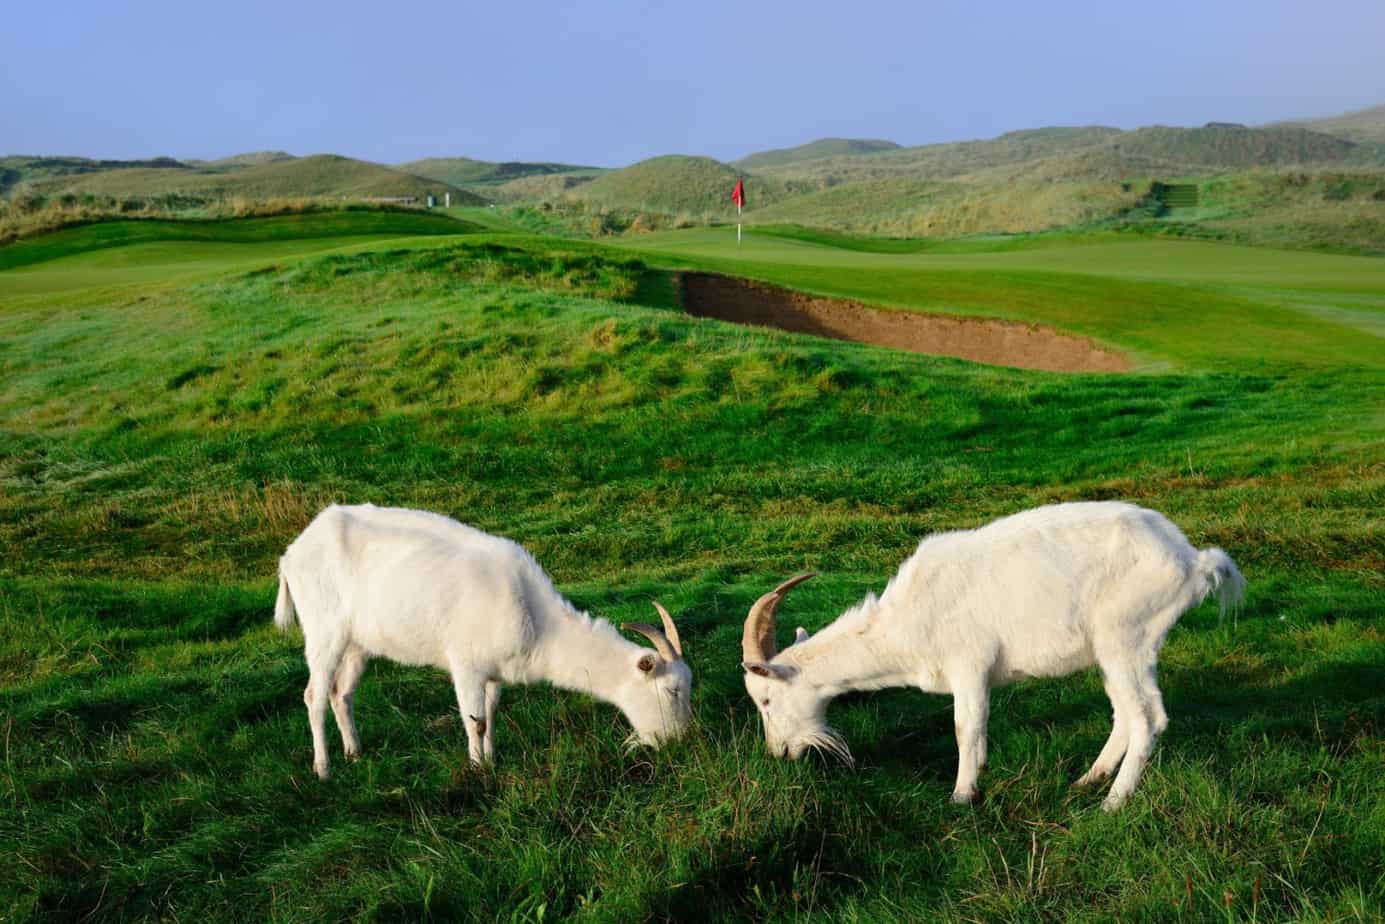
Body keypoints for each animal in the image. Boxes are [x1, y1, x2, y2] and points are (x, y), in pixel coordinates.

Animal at [275, 504, 691, 778]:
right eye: (672, 690)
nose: (680, 741)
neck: (536, 621)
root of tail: (292, 553)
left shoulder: (495, 672)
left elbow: (490, 715)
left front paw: (490, 759)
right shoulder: (467, 664)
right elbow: (473, 721)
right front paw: (478, 771)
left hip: (357, 644)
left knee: (341, 693)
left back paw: (355, 753)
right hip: (323, 631)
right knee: (314, 696)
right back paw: (323, 768)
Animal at [741, 502, 1245, 810]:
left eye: (765, 700)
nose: (777, 753)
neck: (907, 620)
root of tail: (1193, 561)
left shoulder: (969, 664)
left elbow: (966, 727)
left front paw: (962, 794)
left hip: (1125, 637)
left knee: (1148, 718)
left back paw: (1113, 802)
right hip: (1119, 650)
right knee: (1124, 713)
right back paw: (1089, 778)